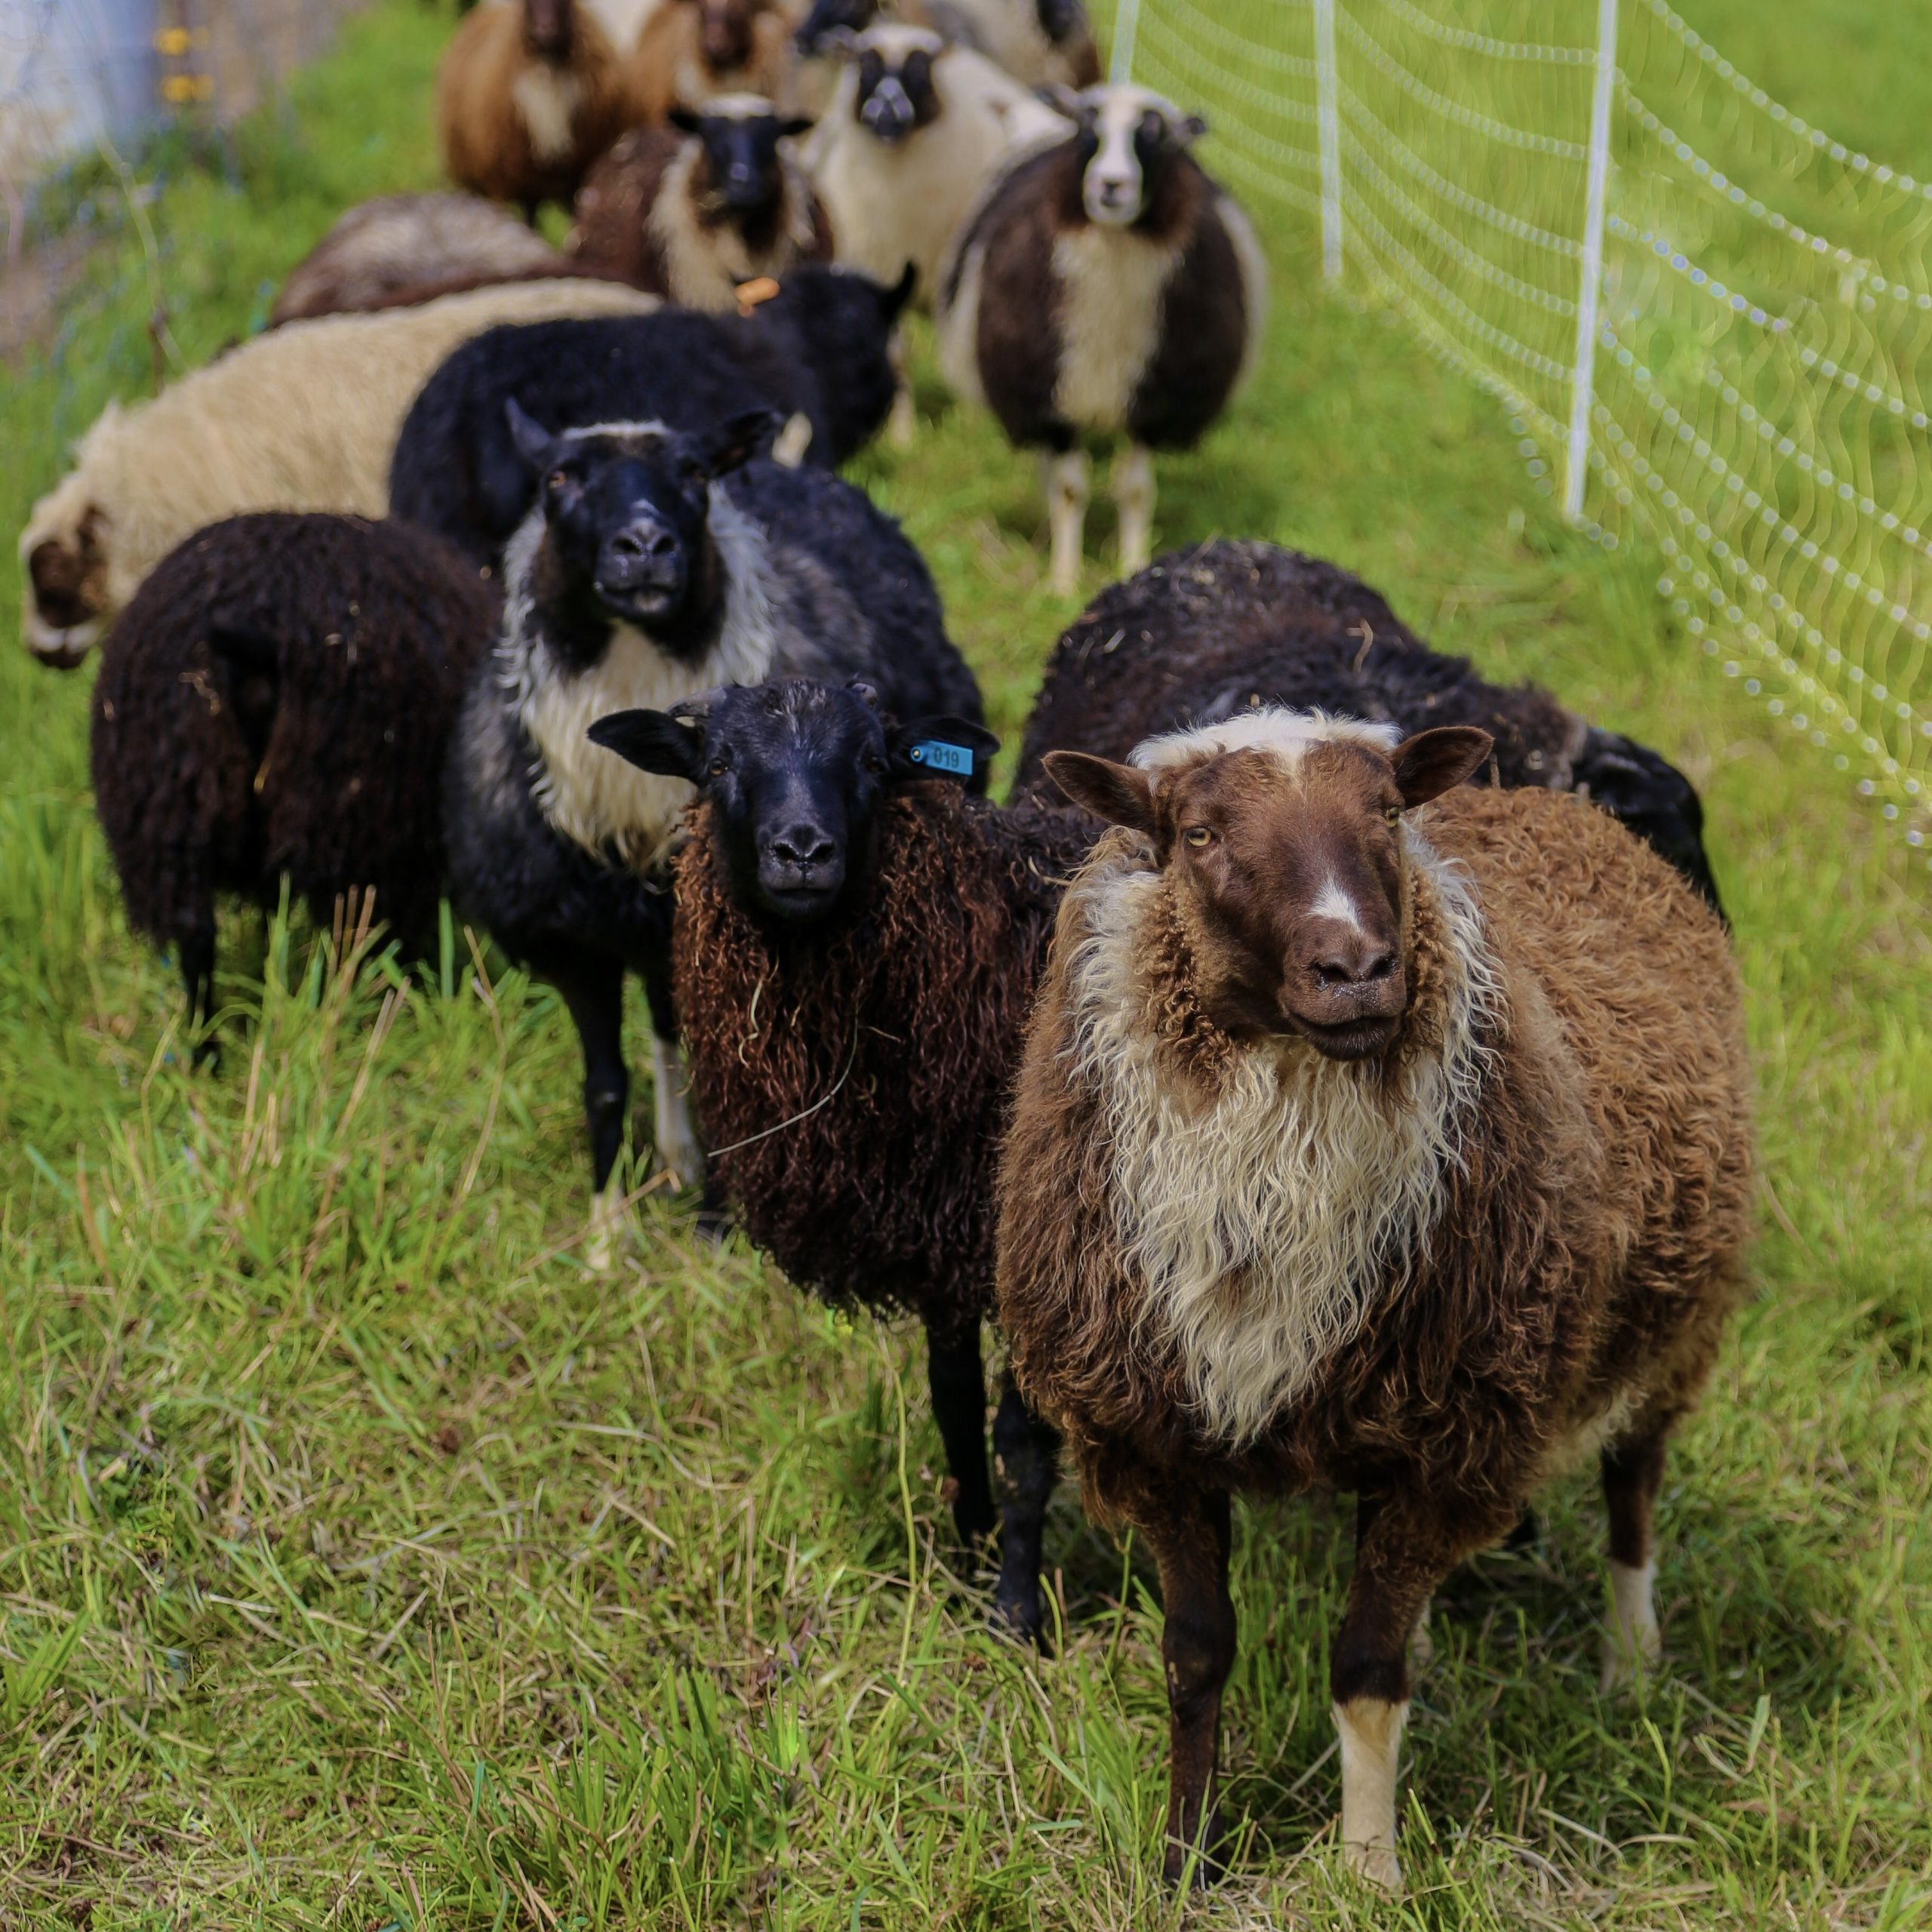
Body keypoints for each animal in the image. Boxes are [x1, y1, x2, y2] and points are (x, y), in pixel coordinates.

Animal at [91, 514, 498, 1050]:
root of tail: (257, 633)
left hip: (170, 815)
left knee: (195, 940)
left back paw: (207, 1049)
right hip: (356, 819)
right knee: (358, 938)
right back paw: (363, 1020)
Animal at [442, 407, 981, 1268]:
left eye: (693, 473)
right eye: (557, 478)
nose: (643, 543)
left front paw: (720, 1231)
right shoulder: (571, 941)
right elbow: (605, 1085)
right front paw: (605, 1236)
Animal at [587, 676, 1093, 1638]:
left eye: (869, 762)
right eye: (718, 765)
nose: (802, 850)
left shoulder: (1032, 1242)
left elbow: (1022, 1437)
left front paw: (1013, 1609)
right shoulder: (939, 1235)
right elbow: (952, 1399)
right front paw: (968, 1544)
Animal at [937, 85, 1267, 592]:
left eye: (1156, 138)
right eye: (1088, 131)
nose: (1111, 185)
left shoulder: (1153, 402)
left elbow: (1134, 490)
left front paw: (1131, 564)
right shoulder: (1052, 400)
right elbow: (1071, 489)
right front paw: (1063, 580)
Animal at [998, 710, 1753, 1891]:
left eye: (1388, 813)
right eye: (1198, 834)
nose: (1355, 968)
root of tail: (1544, 801)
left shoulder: (1445, 1445)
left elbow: (1363, 1671)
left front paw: (1368, 1871)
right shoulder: (1155, 1433)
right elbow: (1195, 1656)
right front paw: (1185, 1860)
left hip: (1673, 1313)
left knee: (1633, 1481)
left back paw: (1631, 1664)